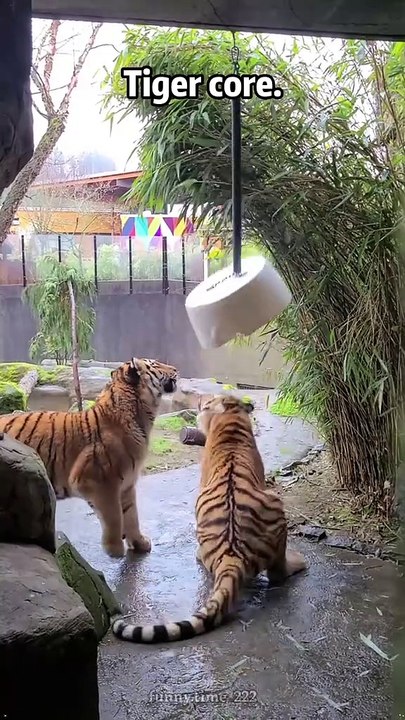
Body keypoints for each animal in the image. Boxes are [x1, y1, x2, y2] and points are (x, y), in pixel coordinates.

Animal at [0, 357, 178, 558]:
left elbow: (132, 515)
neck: (142, 415)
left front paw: (140, 543)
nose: (176, 369)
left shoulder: (127, 484)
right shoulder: (96, 480)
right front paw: (115, 549)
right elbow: (114, 515)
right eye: (155, 364)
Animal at [111, 393, 307, 643]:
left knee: (275, 573)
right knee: (277, 573)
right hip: (274, 502)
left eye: (208, 400)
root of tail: (232, 555)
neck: (231, 416)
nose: (200, 398)